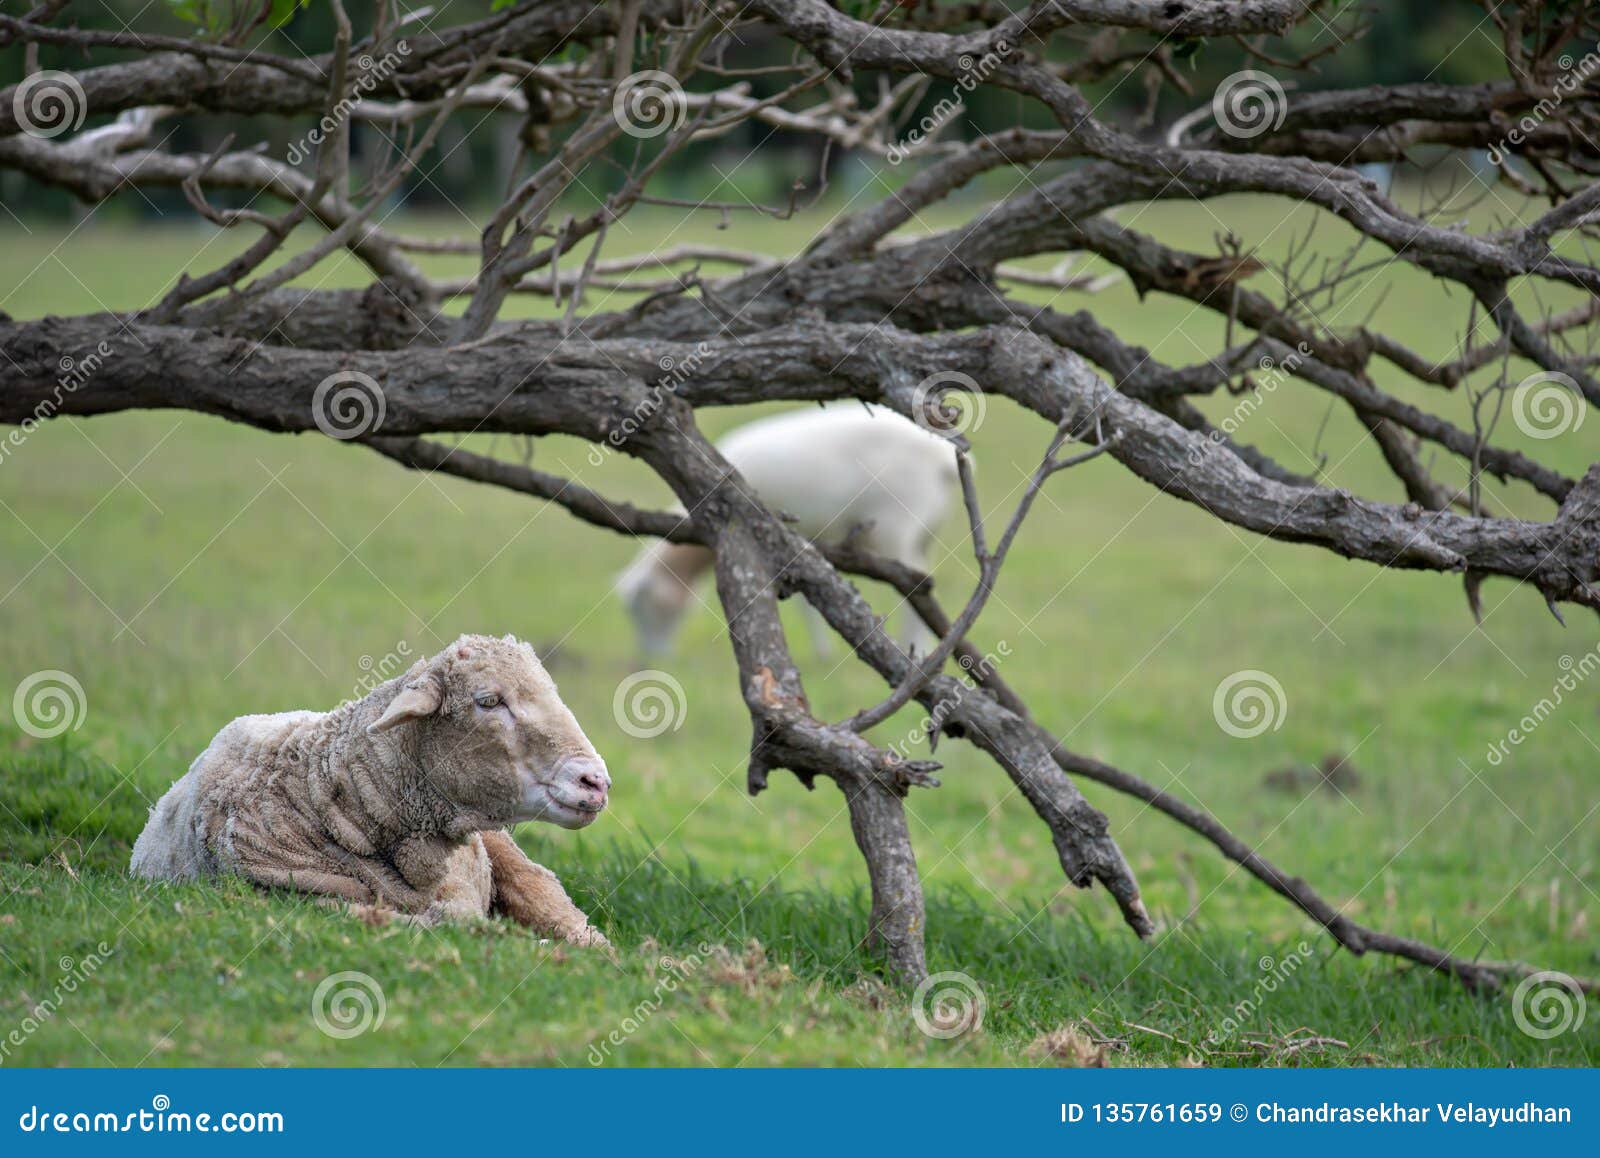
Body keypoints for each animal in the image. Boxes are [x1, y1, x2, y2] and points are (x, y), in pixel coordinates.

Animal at [616, 404, 960, 656]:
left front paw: (822, 652)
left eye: (642, 608)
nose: (650, 657)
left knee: (916, 590)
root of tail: (944, 462)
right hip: (924, 533)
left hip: (896, 529)